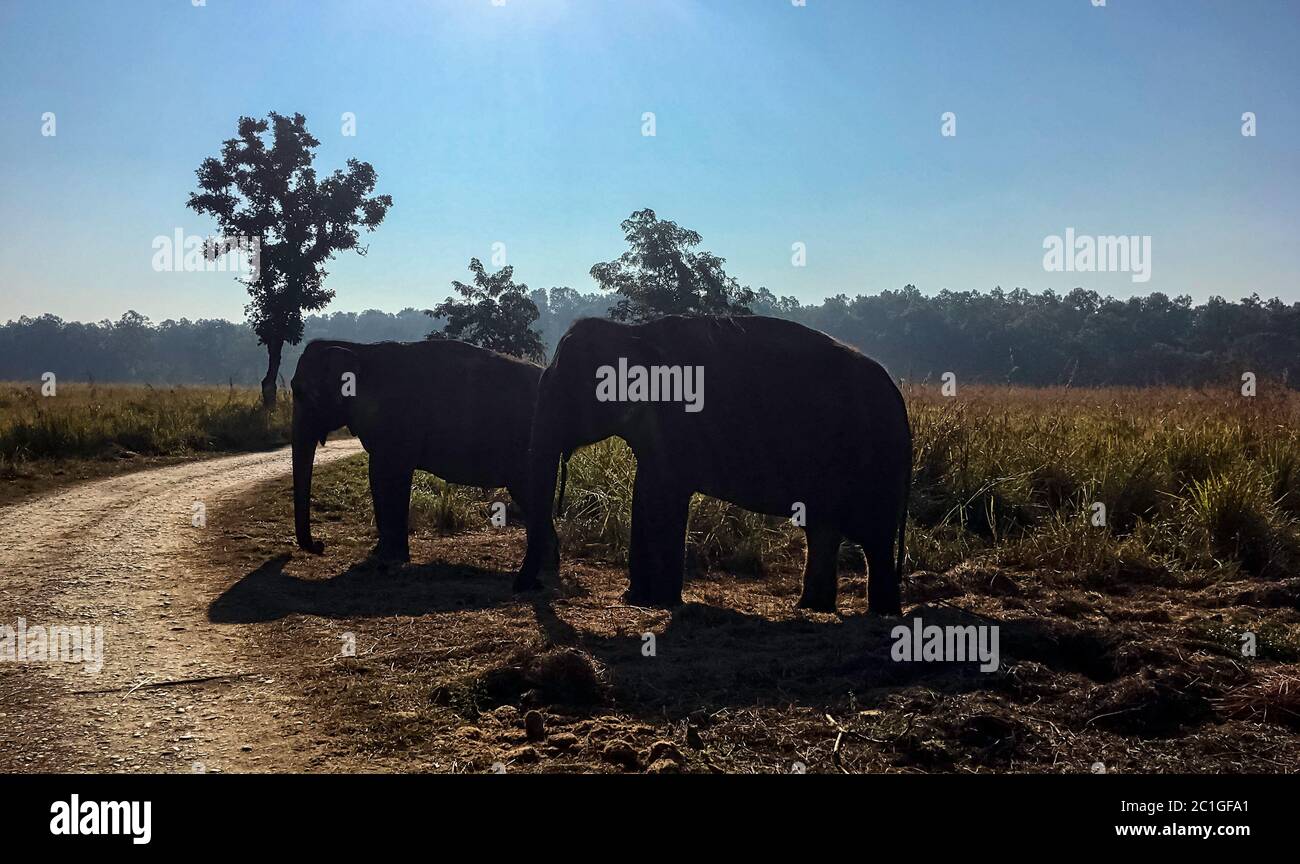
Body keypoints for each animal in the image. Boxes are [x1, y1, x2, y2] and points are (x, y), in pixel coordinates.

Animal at [291, 338, 556, 564]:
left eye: (300, 392)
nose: (320, 546)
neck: (359, 349)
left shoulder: (398, 423)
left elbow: (389, 475)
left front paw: (388, 558)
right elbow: (377, 476)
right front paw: (381, 554)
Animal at [514, 315, 911, 615]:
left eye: (567, 391)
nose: (526, 587)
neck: (632, 333)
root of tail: (897, 394)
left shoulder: (678, 425)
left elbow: (665, 497)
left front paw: (662, 602)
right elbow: (646, 491)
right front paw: (637, 598)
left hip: (874, 461)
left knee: (873, 537)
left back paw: (881, 612)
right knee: (824, 528)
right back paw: (812, 608)